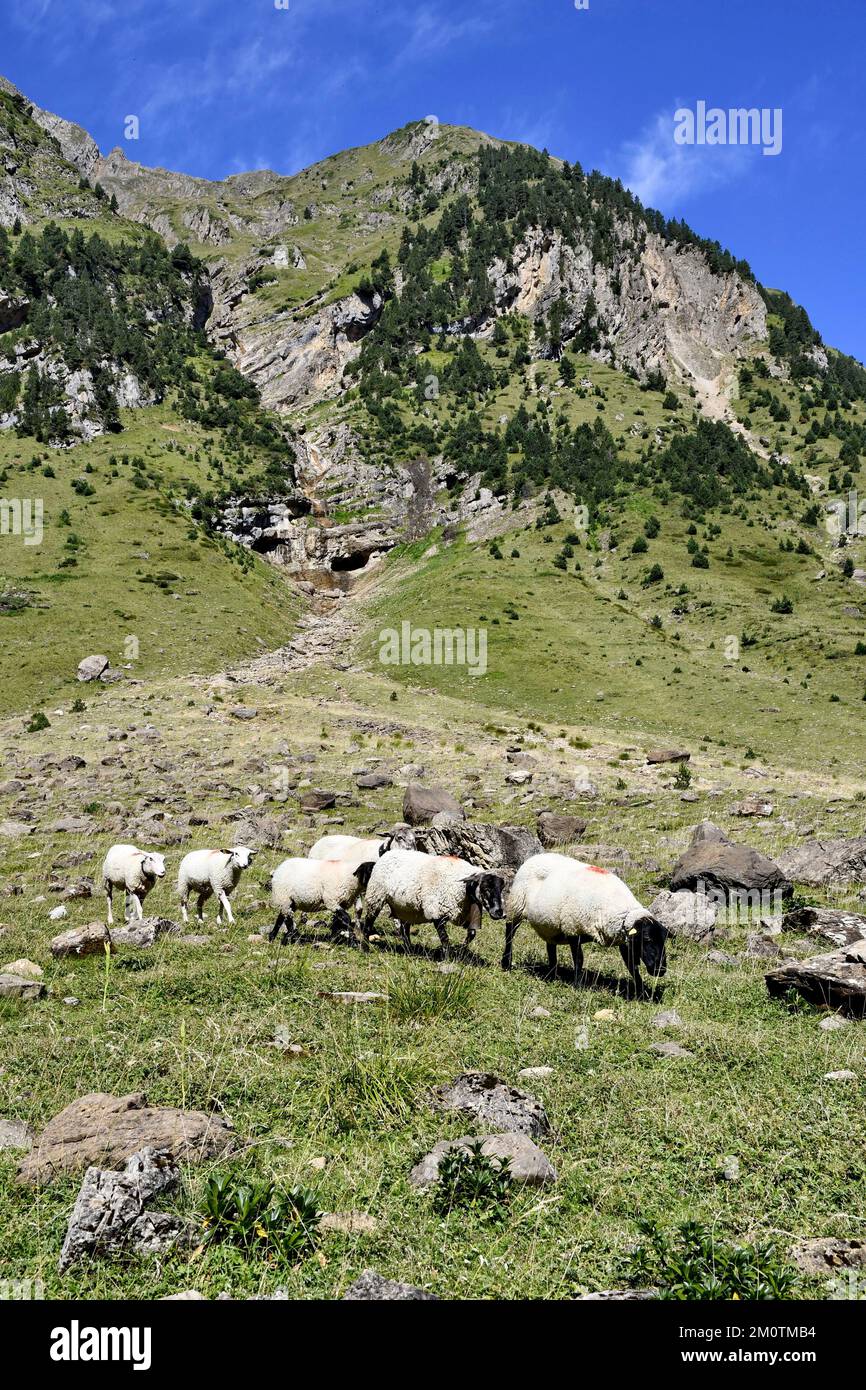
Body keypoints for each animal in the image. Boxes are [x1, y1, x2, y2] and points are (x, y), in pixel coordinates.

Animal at [361, 848, 505, 957]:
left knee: (404, 929)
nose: (499, 913)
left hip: (405, 907)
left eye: (501, 889)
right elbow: (445, 938)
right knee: (368, 923)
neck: (462, 888)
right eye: (486, 888)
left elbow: (472, 934)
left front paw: (460, 950)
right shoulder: (436, 912)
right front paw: (447, 957)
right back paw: (365, 948)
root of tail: (387, 853)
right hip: (376, 896)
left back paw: (409, 950)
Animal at [502, 853, 668, 994]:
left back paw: (552, 974)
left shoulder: (624, 938)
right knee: (510, 933)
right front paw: (578, 985)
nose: (661, 970)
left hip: (550, 922)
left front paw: (642, 992)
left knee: (550, 945)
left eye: (664, 941)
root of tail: (535, 856)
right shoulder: (573, 928)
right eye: (647, 939)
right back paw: (506, 963)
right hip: (516, 904)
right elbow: (579, 959)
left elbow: (632, 966)